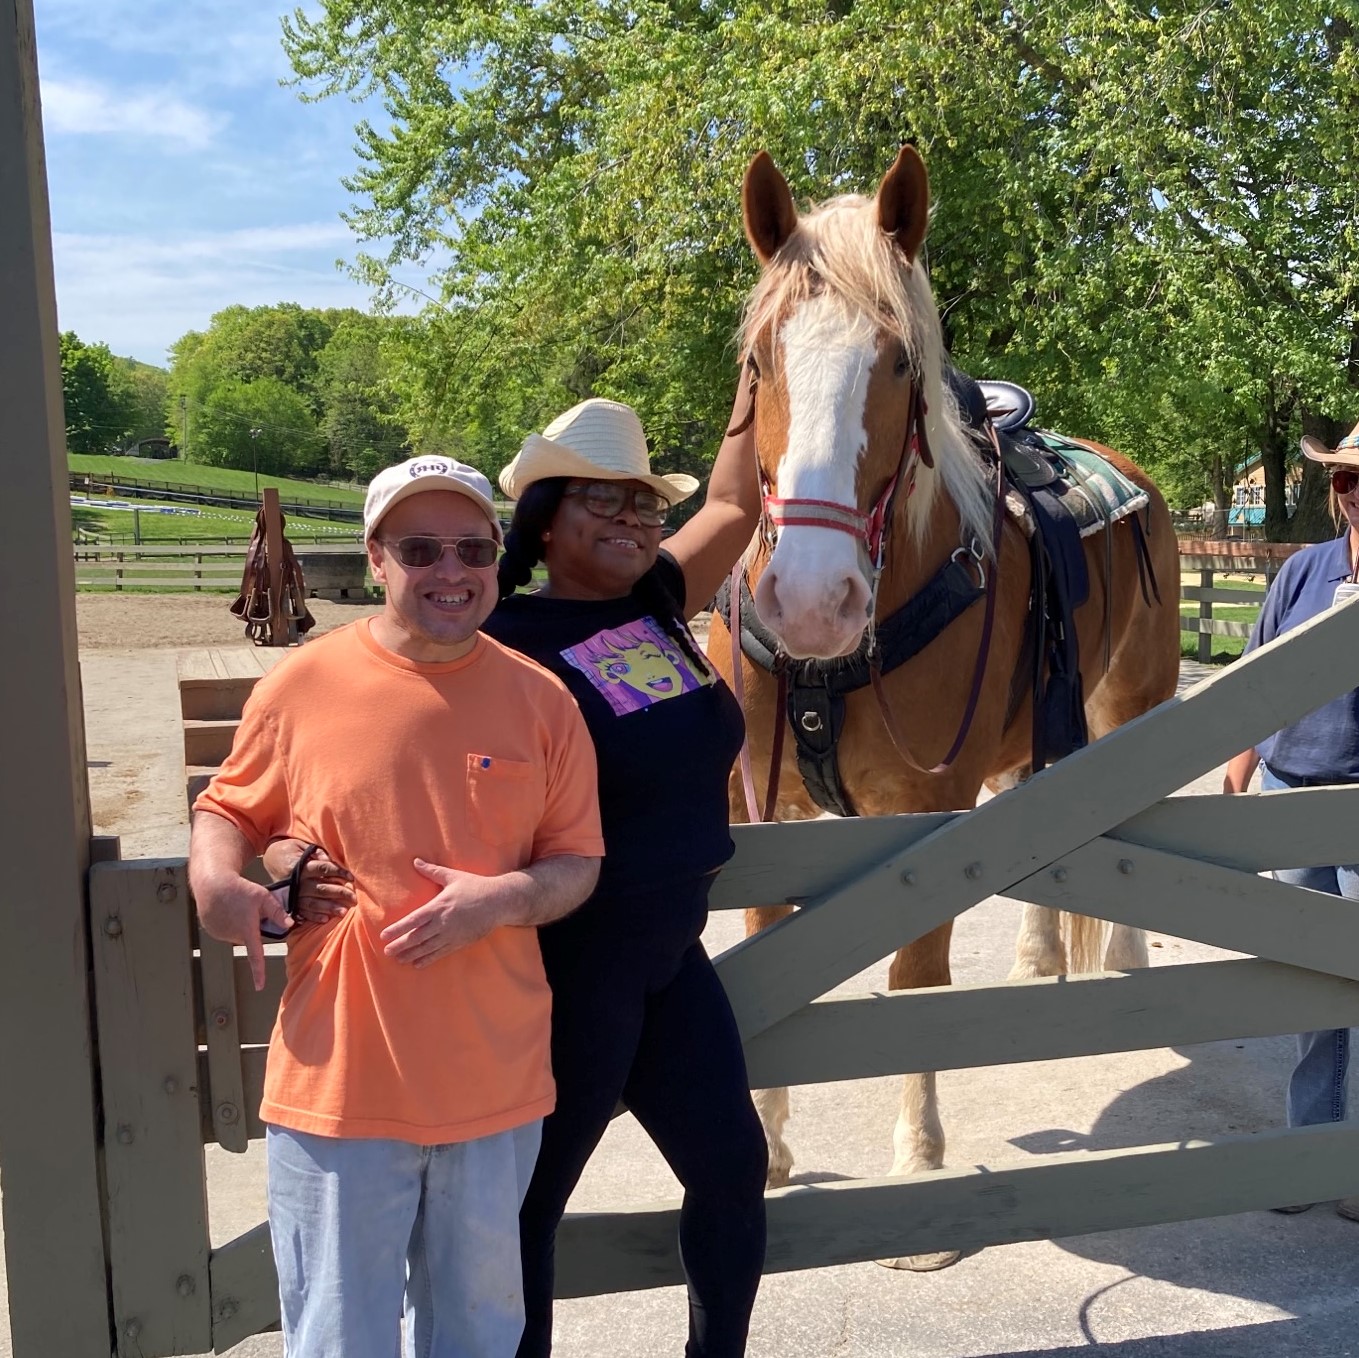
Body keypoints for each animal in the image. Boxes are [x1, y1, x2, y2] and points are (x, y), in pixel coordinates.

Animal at [706, 146, 1181, 1272]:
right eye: (760, 364)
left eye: (897, 364)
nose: (811, 600)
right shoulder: (759, 815)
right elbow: (764, 959)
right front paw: (772, 1153)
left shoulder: (919, 819)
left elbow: (914, 985)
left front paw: (916, 1174)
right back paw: (1037, 959)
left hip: (1134, 706)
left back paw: (1121, 969)